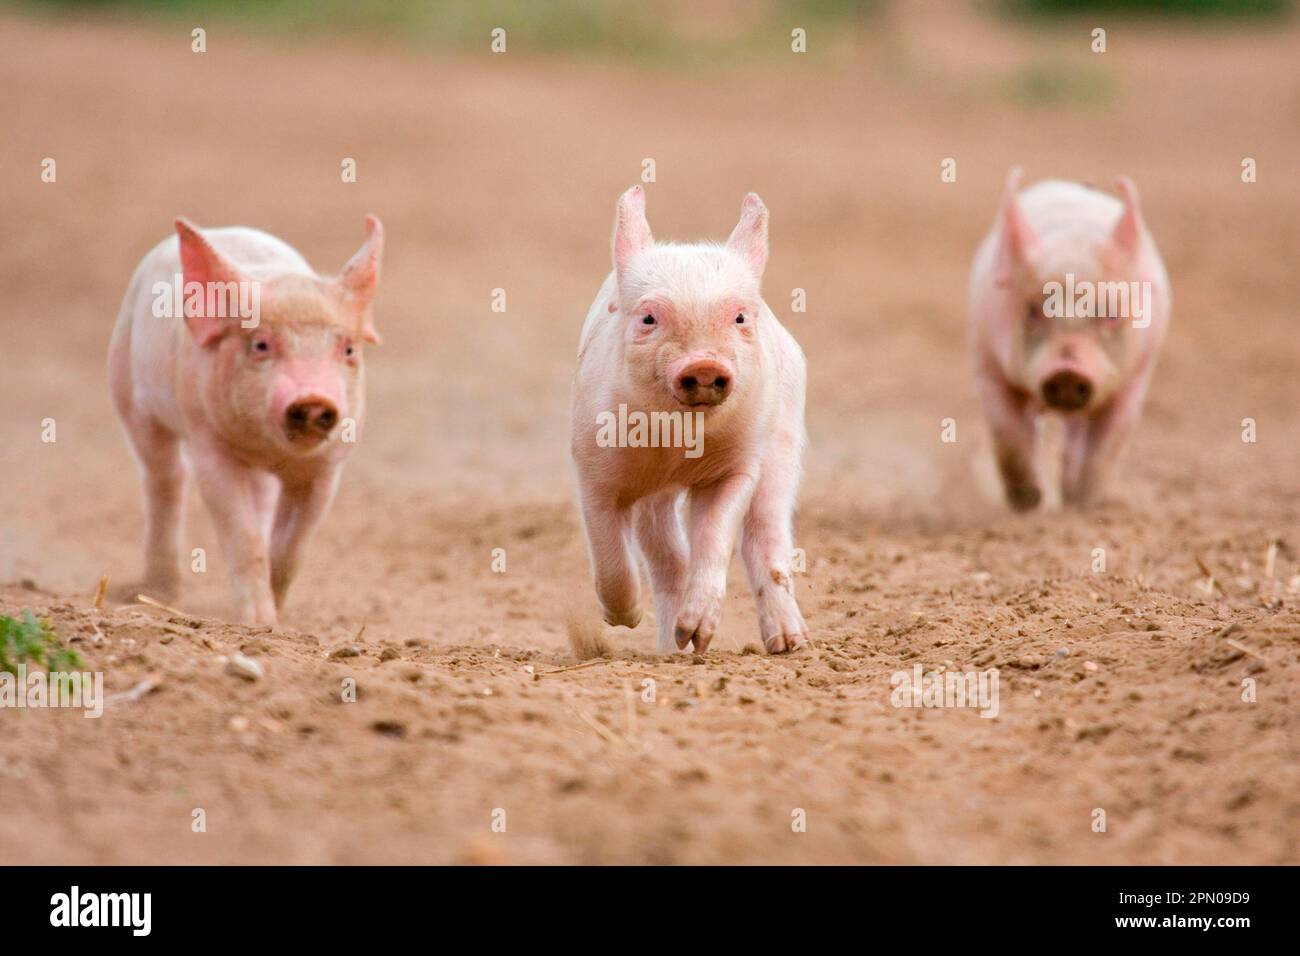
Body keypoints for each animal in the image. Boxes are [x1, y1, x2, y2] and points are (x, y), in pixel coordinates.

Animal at [108, 216, 383, 624]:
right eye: (261, 345)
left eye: (348, 349)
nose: (314, 398)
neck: (269, 448)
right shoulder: (208, 446)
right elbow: (244, 538)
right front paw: (259, 623)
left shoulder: (327, 467)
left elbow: (293, 546)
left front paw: (277, 615)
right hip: (127, 387)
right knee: (164, 475)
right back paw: (155, 592)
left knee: (260, 499)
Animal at [570, 186, 809, 654]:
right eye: (648, 317)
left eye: (739, 317)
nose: (703, 364)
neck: (676, 447)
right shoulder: (592, 466)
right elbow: (608, 551)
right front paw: (625, 619)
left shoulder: (738, 466)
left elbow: (715, 539)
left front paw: (699, 636)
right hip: (653, 501)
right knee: (668, 560)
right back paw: (671, 648)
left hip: (784, 439)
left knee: (765, 535)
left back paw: (789, 644)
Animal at [968, 169, 1171, 510]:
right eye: (1032, 311)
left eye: (1112, 314)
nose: (1066, 373)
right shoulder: (986, 361)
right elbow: (1007, 433)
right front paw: (1028, 502)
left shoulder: (1138, 373)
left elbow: (1106, 444)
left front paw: (1081, 504)